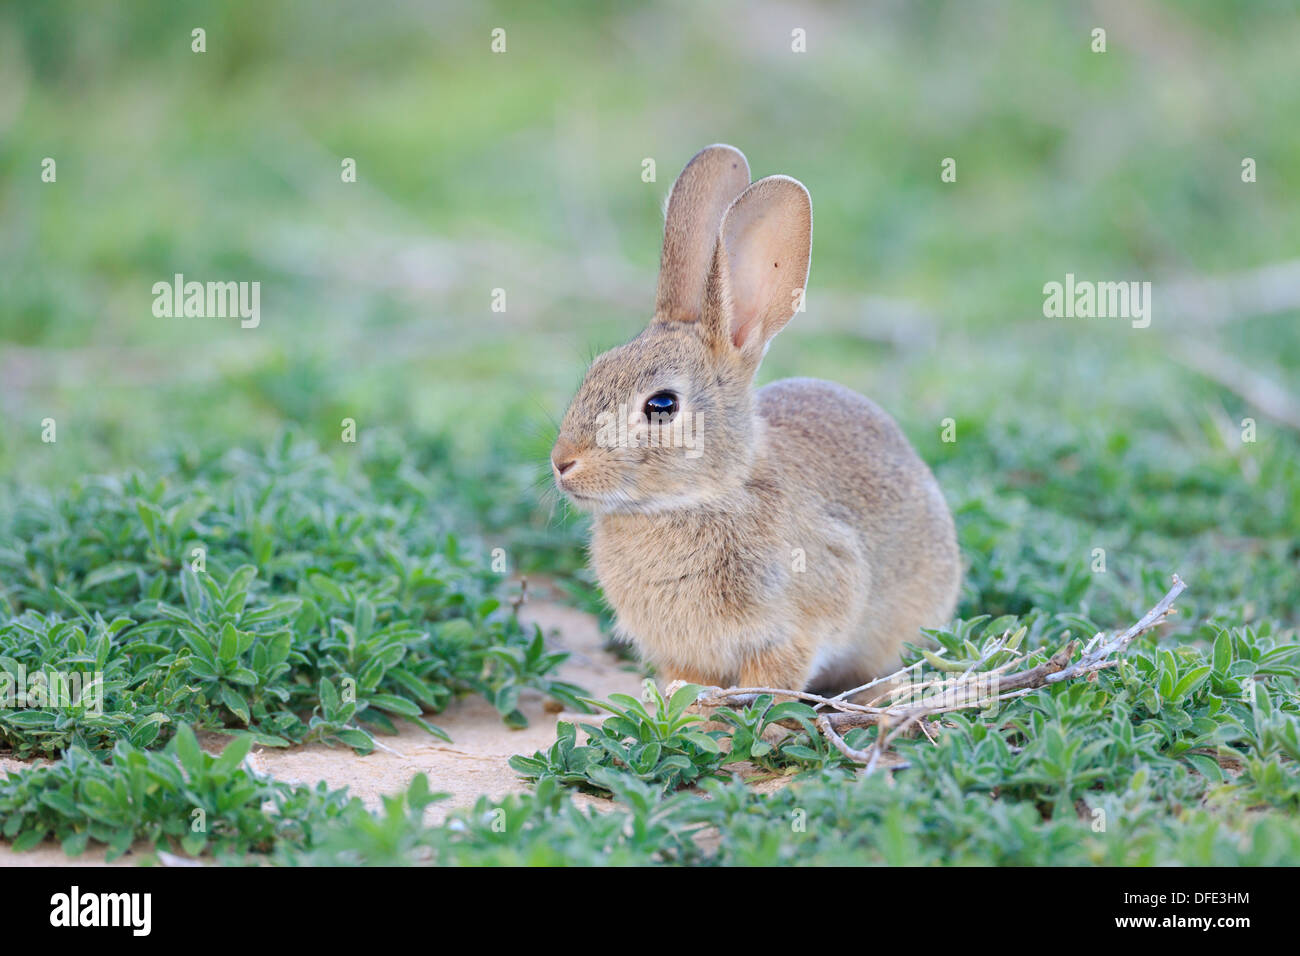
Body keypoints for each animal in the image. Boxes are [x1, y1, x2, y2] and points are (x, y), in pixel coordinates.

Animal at [550, 144, 962, 695]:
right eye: (595, 369)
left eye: (662, 405)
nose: (562, 463)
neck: (703, 496)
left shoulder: (796, 627)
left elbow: (770, 683)